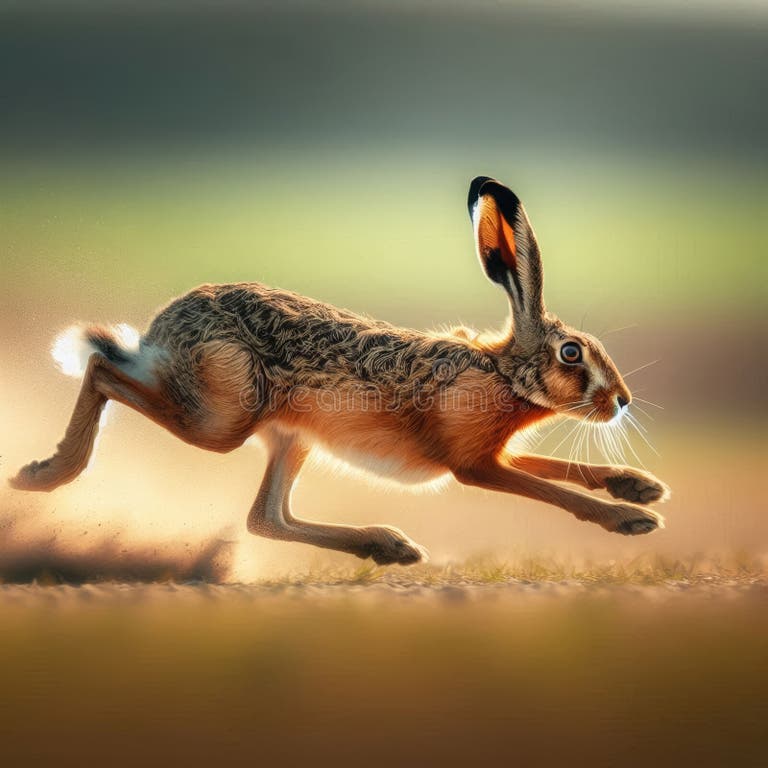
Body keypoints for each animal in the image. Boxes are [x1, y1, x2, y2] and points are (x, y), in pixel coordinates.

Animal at [10, 176, 669, 565]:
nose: (622, 401)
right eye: (571, 354)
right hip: (223, 419)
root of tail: (160, 331)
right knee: (102, 368)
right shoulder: (474, 463)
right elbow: (550, 488)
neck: (502, 374)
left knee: (266, 519)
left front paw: (639, 486)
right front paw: (633, 519)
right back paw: (44, 474)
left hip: (292, 438)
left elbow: (556, 468)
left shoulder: (493, 452)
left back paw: (388, 546)